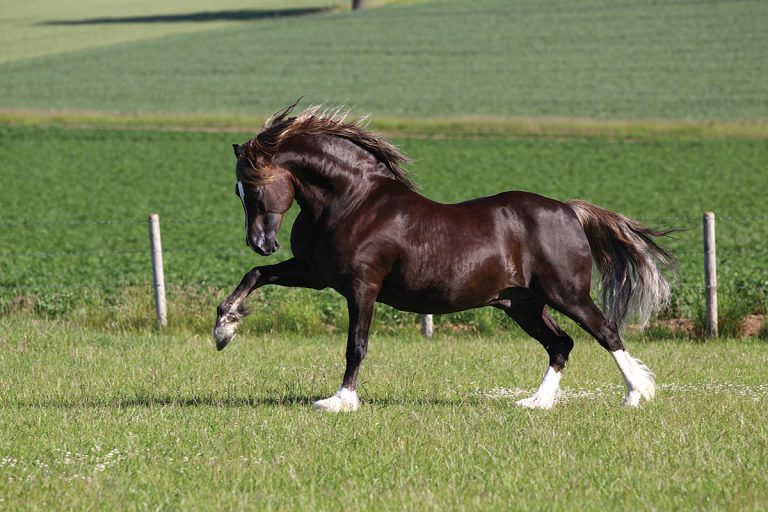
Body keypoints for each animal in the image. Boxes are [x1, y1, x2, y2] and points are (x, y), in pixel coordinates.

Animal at [213, 102, 676, 412]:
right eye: (237, 190)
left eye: (253, 188)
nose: (261, 242)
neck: (352, 200)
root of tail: (568, 209)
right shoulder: (316, 273)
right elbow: (255, 275)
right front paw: (224, 329)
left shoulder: (362, 286)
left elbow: (356, 345)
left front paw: (339, 401)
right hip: (522, 304)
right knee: (561, 343)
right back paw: (535, 402)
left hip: (567, 294)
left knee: (606, 332)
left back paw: (636, 393)